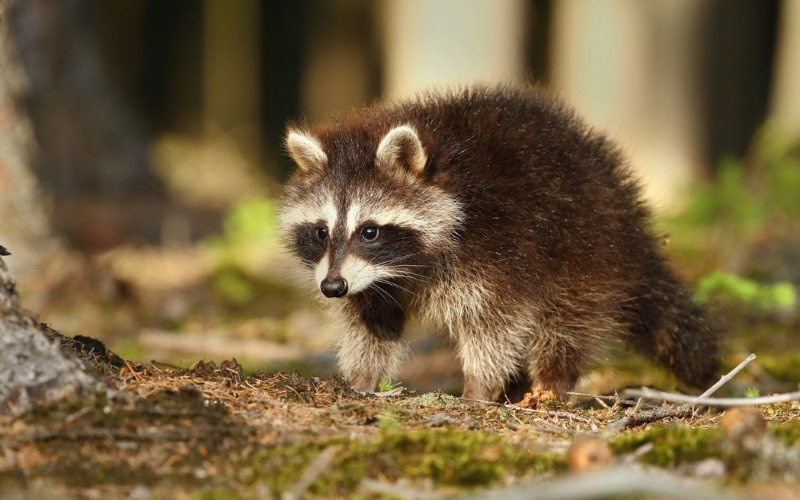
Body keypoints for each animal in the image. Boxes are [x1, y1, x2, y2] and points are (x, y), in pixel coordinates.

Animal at [279, 85, 720, 401]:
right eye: (321, 232)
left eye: (369, 231)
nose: (332, 288)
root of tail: (627, 211)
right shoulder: (369, 279)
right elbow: (371, 323)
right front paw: (361, 379)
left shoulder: (498, 246)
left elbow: (493, 324)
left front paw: (479, 386)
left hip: (585, 248)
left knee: (567, 322)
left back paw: (551, 383)